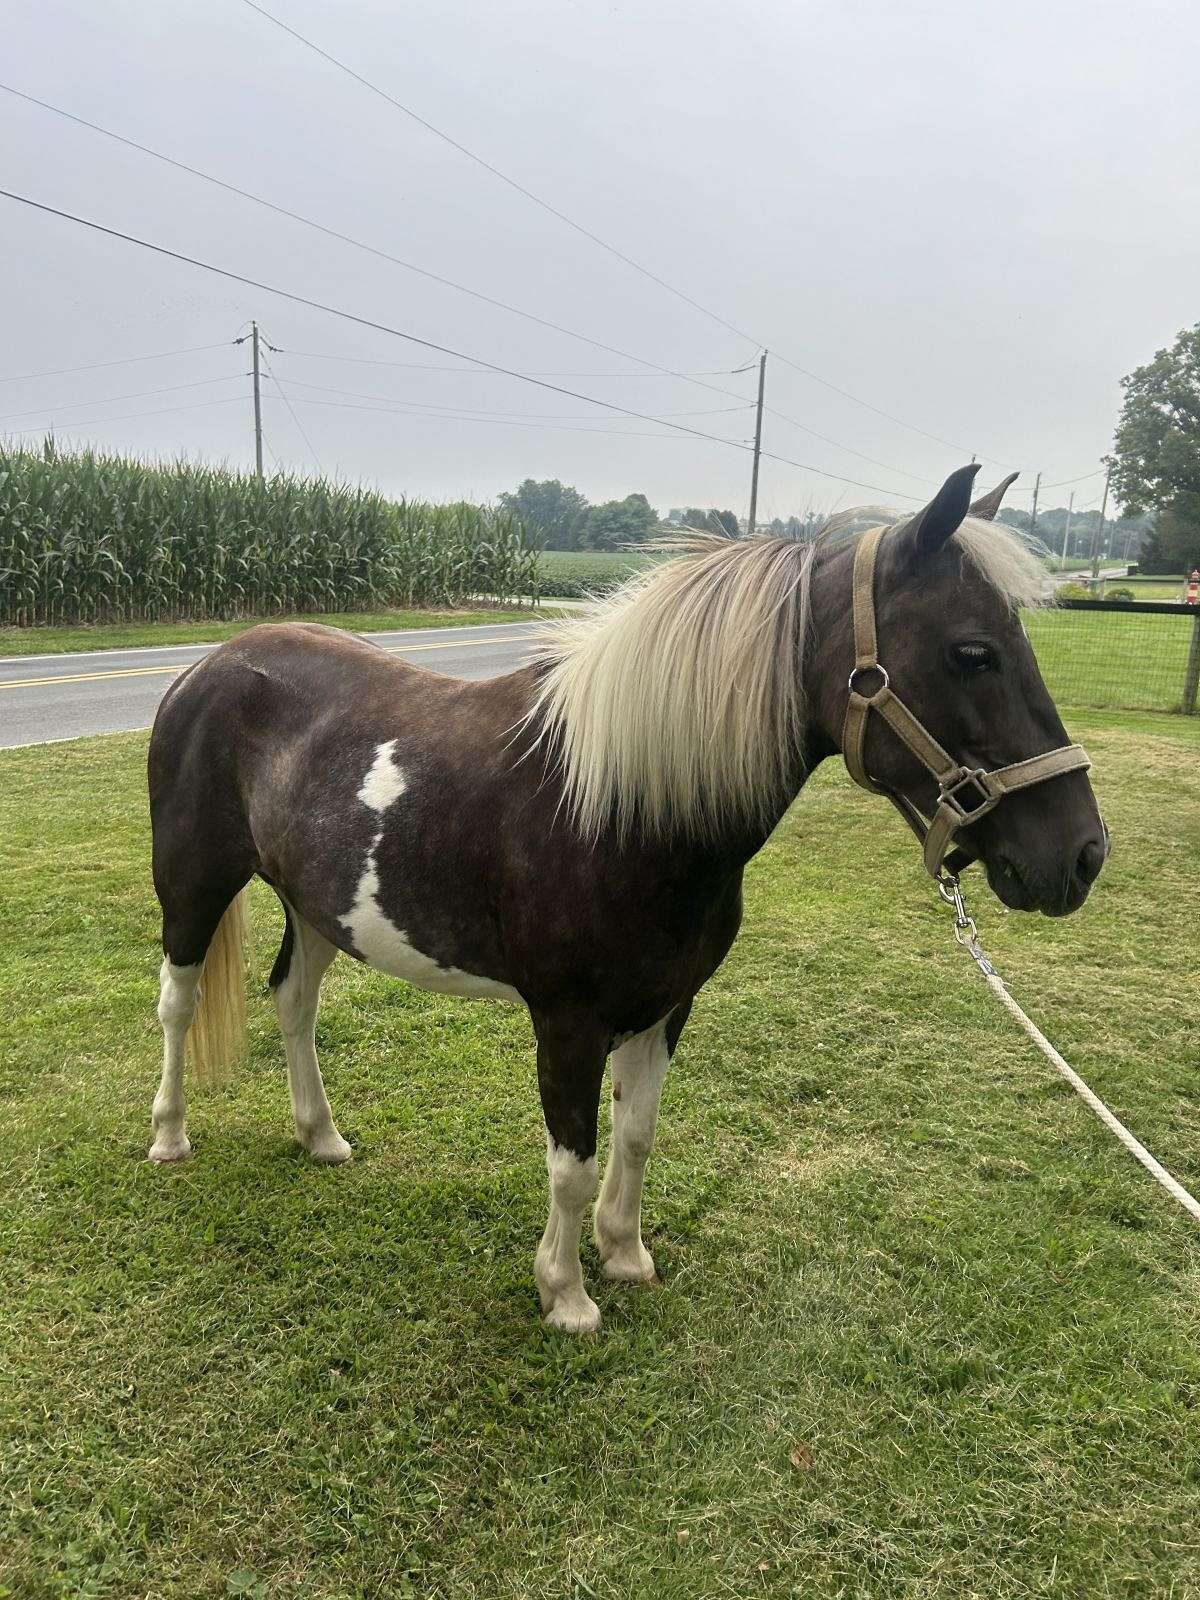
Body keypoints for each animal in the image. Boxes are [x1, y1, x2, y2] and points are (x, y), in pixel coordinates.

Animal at [146, 464, 1106, 1333]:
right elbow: (570, 1163)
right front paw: (566, 1296)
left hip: (316, 903)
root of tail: (208, 667)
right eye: (971, 651)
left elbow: (637, 1134)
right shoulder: (566, 1021)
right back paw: (169, 1135)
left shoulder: (667, 1006)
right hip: (191, 885)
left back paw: (321, 1136)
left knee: (293, 1002)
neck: (619, 807)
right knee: (178, 1003)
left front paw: (624, 1256)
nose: (1081, 855)